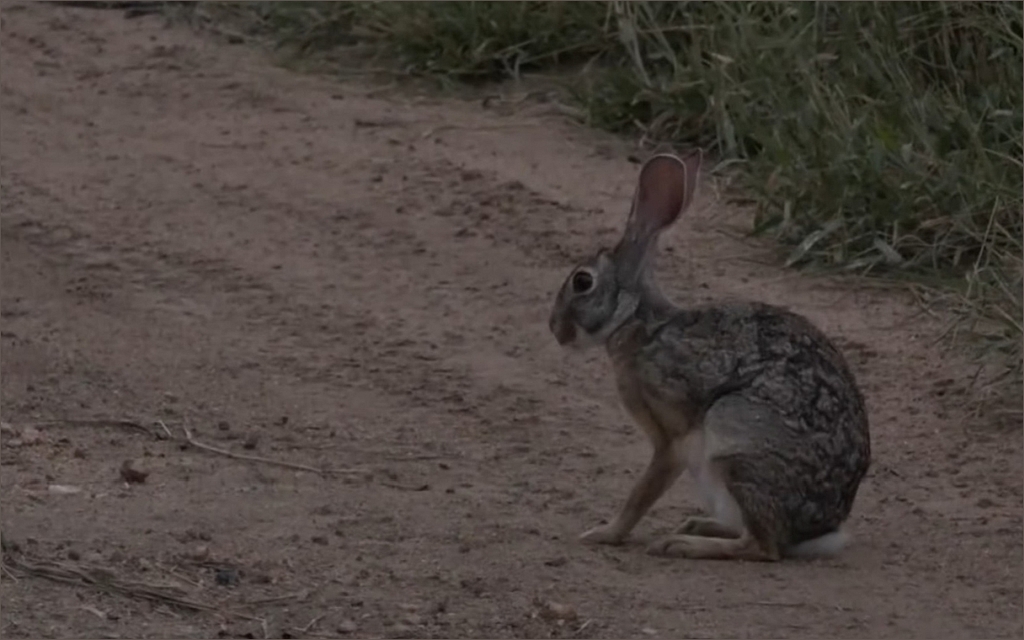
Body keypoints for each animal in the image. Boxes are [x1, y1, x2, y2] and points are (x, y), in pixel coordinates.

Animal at [548, 150, 871, 561]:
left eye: (582, 282)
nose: (555, 329)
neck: (639, 324)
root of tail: (818, 530)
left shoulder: (670, 435)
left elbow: (642, 492)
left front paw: (604, 533)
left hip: (732, 441)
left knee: (763, 546)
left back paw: (683, 543)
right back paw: (696, 525)